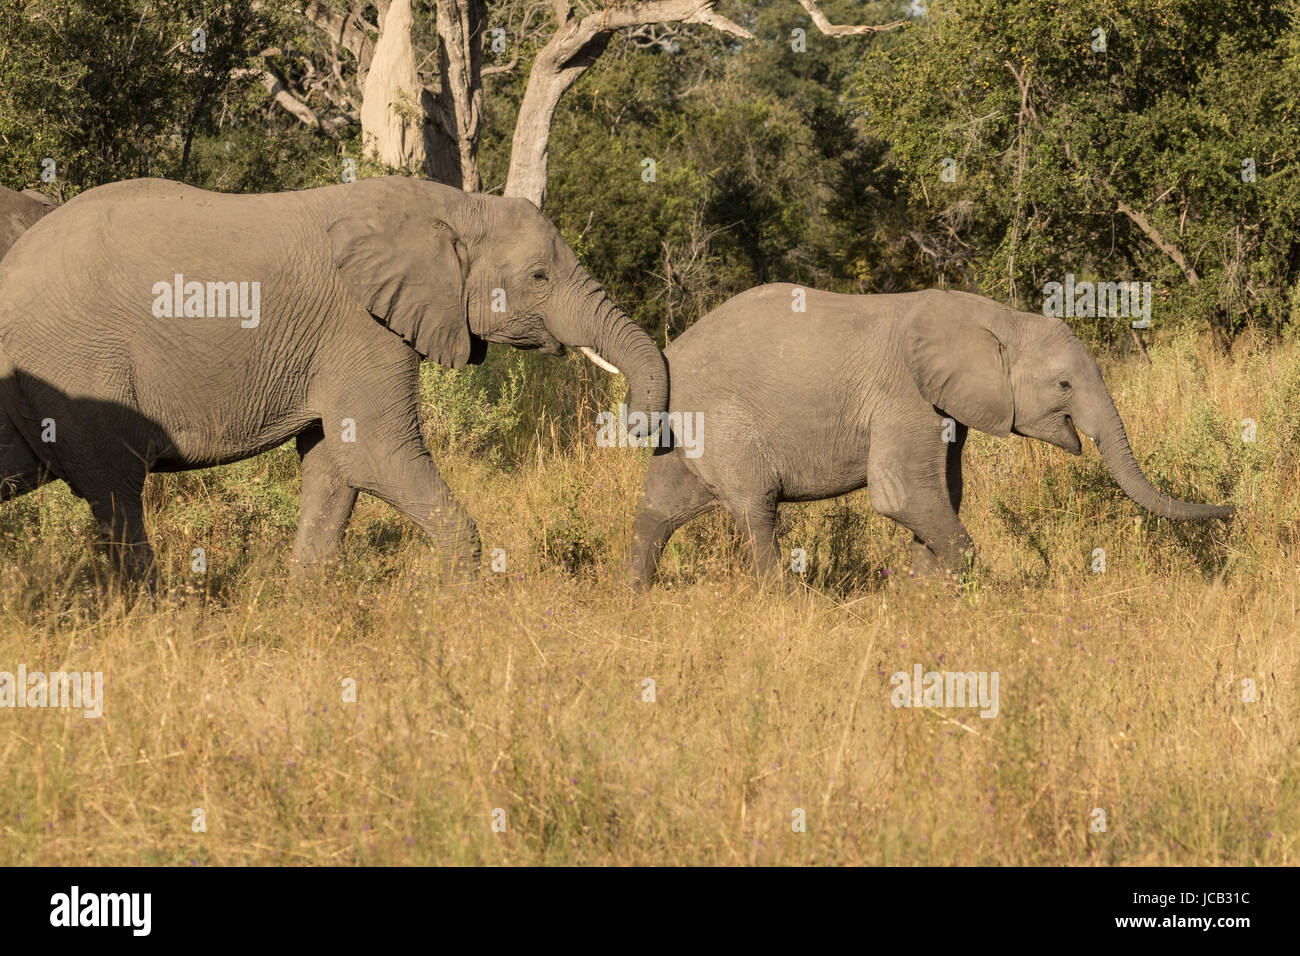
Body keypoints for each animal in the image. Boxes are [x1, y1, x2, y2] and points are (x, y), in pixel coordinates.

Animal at [0, 175, 666, 578]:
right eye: (538, 278)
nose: (636, 428)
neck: (450, 205)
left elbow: (333, 462)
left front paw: (307, 602)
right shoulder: (362, 326)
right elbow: (374, 452)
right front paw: (455, 601)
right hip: (80, 363)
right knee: (116, 489)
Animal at [629, 284, 1233, 587]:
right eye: (1063, 384)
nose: (1232, 513)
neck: (997, 318)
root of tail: (668, 356)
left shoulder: (949, 407)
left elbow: (943, 493)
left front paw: (914, 593)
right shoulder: (905, 395)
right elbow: (901, 494)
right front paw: (944, 593)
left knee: (660, 508)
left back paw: (635, 596)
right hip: (723, 419)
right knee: (755, 508)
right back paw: (781, 600)